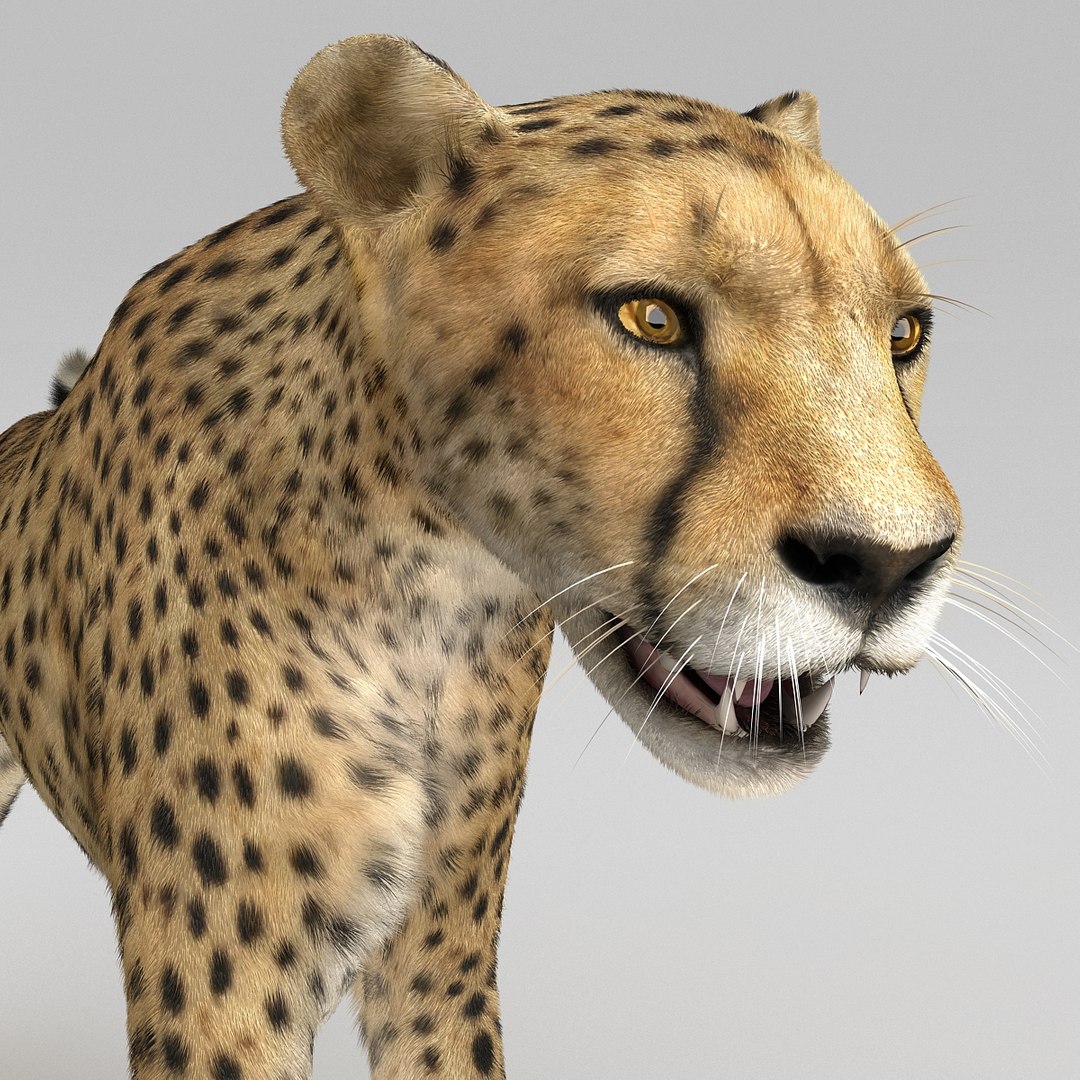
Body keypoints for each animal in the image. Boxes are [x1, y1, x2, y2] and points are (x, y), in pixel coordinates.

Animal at [0, 33, 961, 1080]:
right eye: (651, 317)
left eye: (905, 331)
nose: (889, 564)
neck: (425, 584)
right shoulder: (226, 991)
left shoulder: (439, 954)